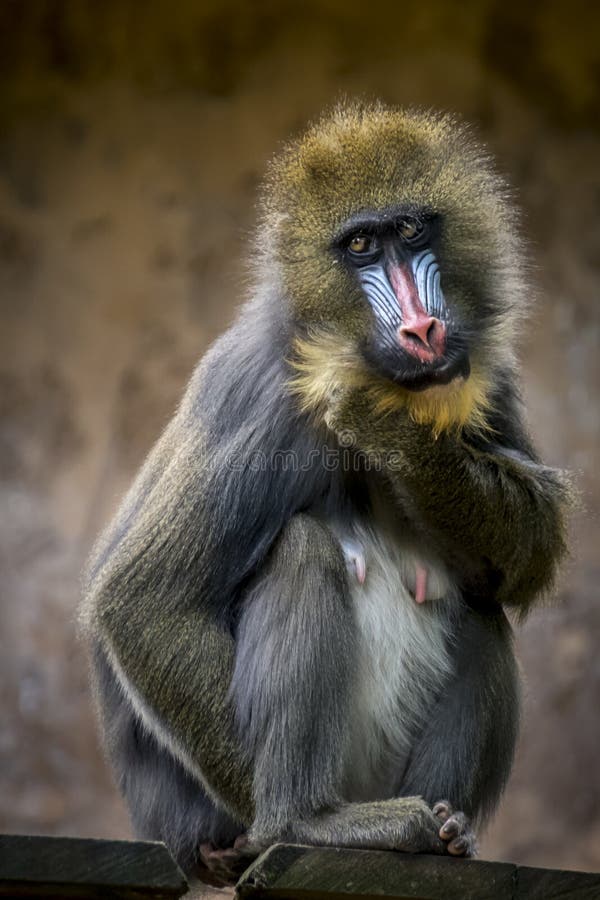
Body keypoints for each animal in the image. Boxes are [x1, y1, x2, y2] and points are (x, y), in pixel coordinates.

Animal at [81, 102, 571, 884]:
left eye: (410, 231)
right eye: (361, 245)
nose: (422, 328)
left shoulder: (485, 382)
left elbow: (530, 552)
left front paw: (396, 436)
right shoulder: (266, 400)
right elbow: (144, 600)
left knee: (482, 605)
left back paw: (447, 834)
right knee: (302, 550)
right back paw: (308, 821)